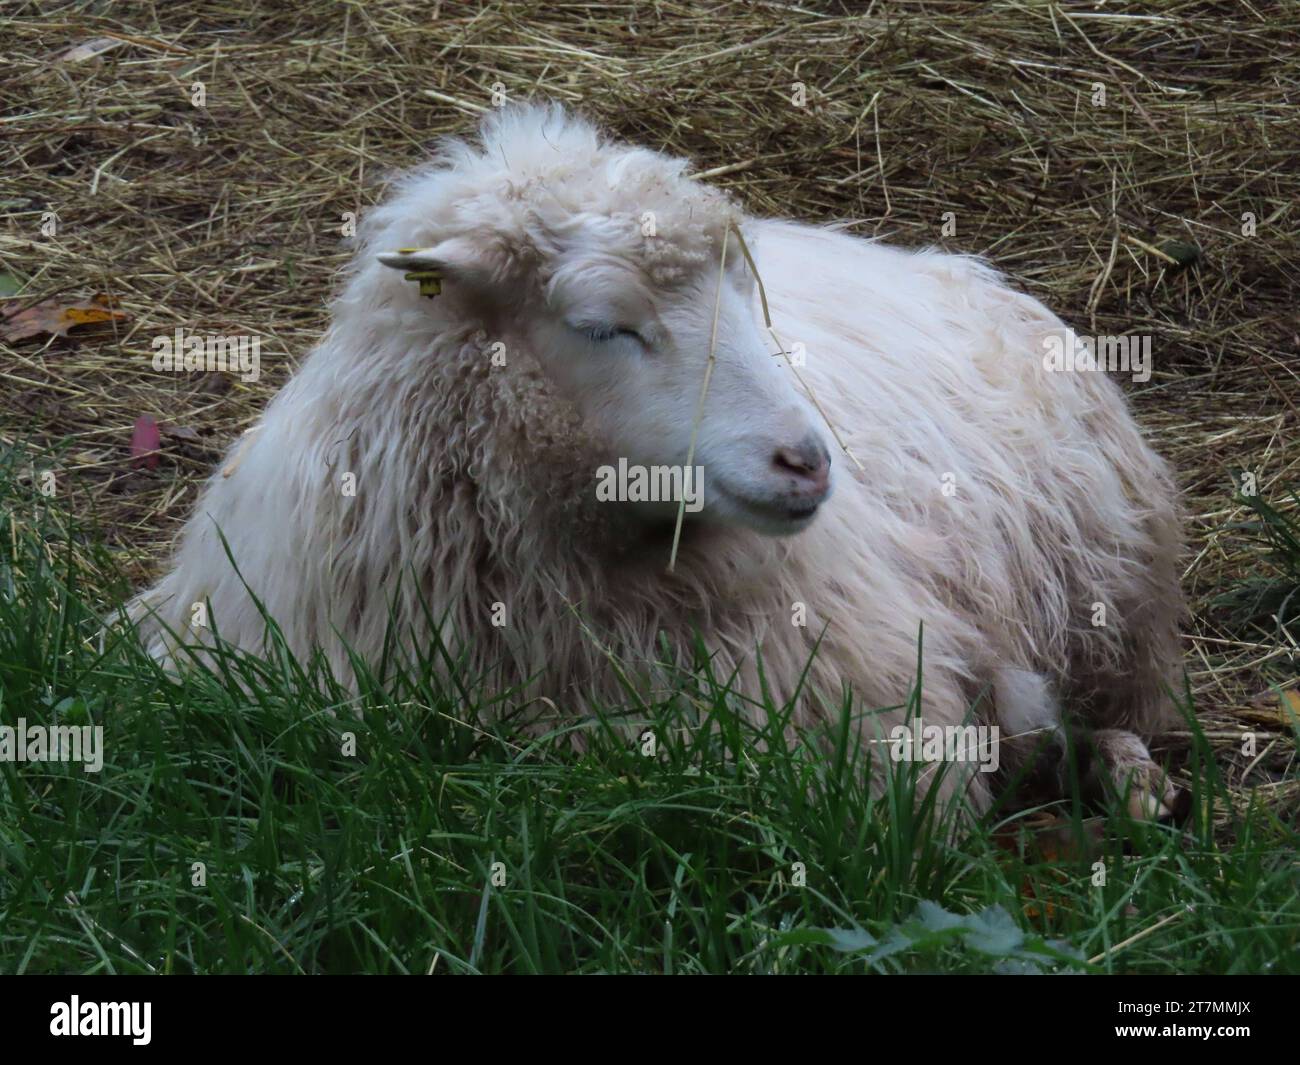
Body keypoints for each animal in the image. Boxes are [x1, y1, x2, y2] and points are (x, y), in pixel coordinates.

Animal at [129, 103, 1185, 819]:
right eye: (603, 323)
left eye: (752, 300)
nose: (810, 462)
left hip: (1109, 595)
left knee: (1117, 703)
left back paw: (1133, 782)